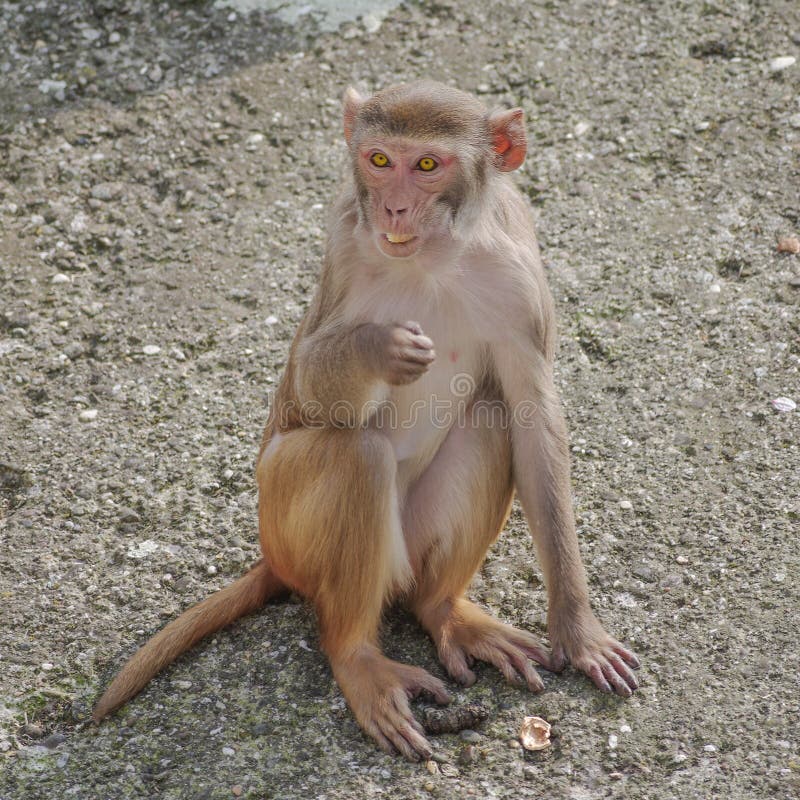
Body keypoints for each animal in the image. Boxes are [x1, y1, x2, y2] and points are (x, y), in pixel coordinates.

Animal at [93, 81, 640, 761]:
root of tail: (271, 558)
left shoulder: (519, 274)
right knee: (357, 454)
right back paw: (358, 660)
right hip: (288, 525)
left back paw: (444, 611)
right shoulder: (344, 240)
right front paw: (377, 349)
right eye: (379, 160)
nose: (394, 209)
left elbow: (532, 416)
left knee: (488, 415)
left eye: (427, 165)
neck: (436, 259)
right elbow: (306, 383)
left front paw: (577, 626)